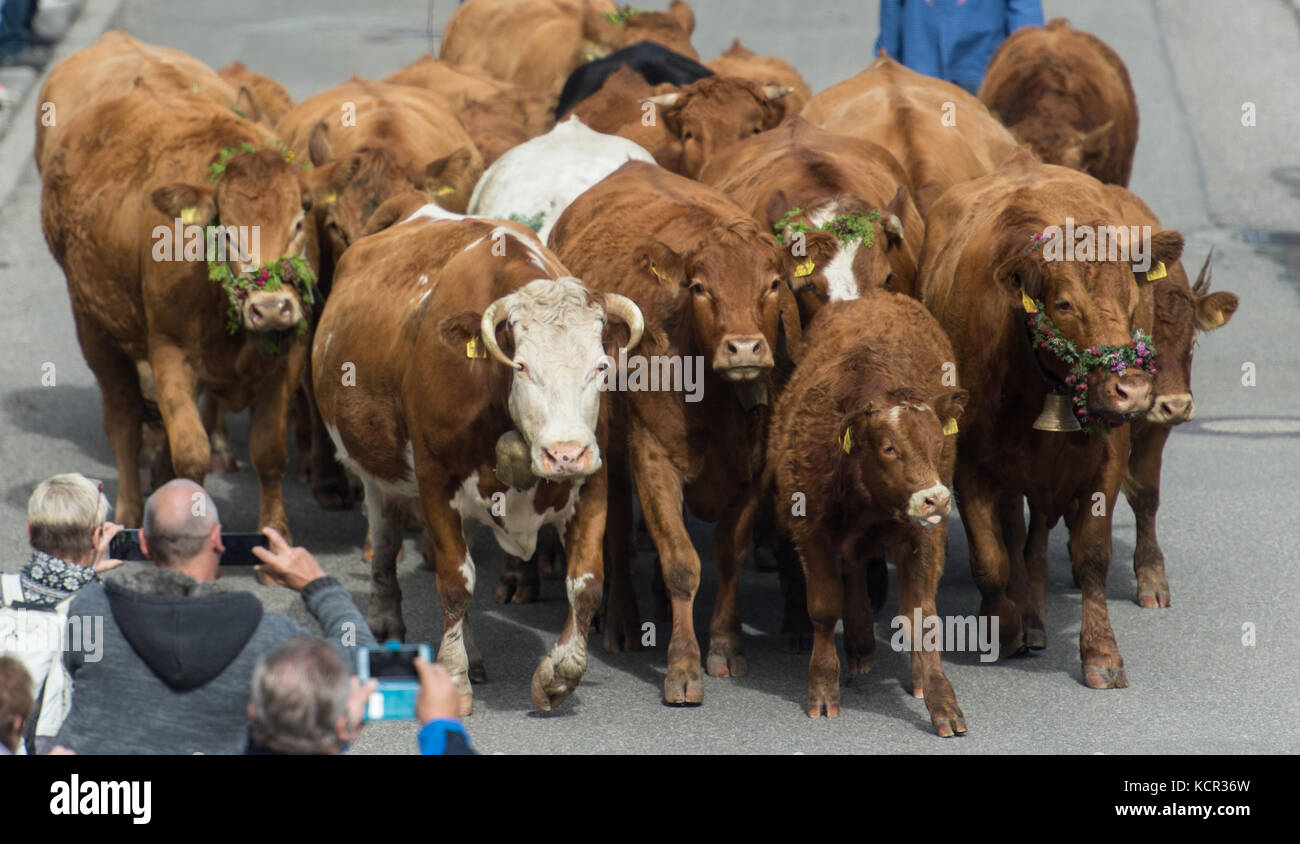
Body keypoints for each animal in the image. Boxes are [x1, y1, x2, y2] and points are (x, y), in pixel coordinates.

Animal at [40, 82, 315, 535]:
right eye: (228, 232)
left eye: (298, 222)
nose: (272, 307)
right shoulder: (168, 350)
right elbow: (191, 453)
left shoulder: (287, 355)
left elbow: (269, 453)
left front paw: (276, 536)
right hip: (93, 326)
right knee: (124, 420)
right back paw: (130, 512)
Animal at [312, 214, 644, 714]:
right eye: (522, 366)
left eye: (601, 367)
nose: (564, 453)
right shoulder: (435, 481)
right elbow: (454, 582)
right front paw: (453, 678)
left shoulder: (593, 481)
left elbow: (586, 583)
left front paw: (559, 675)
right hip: (378, 476)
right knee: (388, 544)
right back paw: (387, 622)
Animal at [549, 160, 802, 704]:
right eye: (700, 287)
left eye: (774, 283)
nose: (744, 348)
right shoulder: (651, 455)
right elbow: (681, 562)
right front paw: (683, 666)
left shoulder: (758, 467)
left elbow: (728, 553)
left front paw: (725, 644)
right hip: (610, 447)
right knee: (618, 530)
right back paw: (622, 621)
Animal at [767, 292, 968, 734]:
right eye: (889, 447)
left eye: (937, 443)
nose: (935, 499)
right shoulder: (810, 532)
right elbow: (825, 607)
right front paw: (823, 689)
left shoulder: (923, 539)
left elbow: (922, 616)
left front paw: (941, 699)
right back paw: (859, 645)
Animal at [918, 150, 1184, 688]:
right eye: (1064, 304)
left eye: (1131, 301)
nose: (1131, 391)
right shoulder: (970, 465)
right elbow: (991, 559)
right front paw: (1003, 625)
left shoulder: (1106, 459)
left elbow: (1091, 554)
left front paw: (1101, 652)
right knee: (1016, 537)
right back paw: (1027, 618)